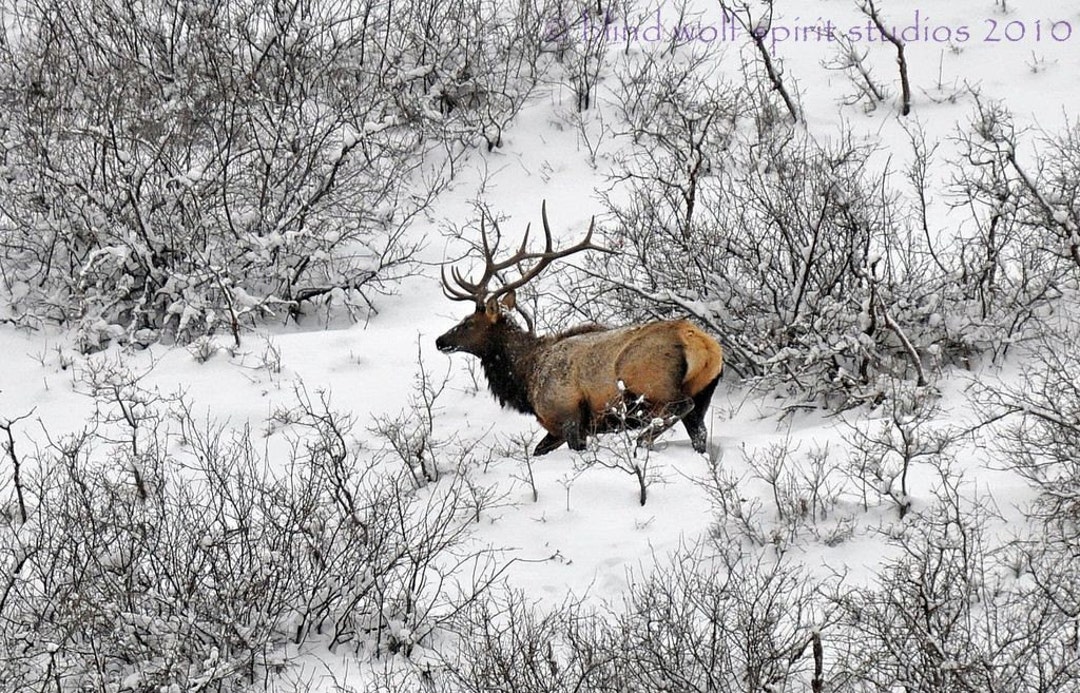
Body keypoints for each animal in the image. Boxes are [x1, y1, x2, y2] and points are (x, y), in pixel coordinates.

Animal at [435, 203, 724, 456]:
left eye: (468, 323)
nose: (440, 340)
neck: (526, 378)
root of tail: (705, 347)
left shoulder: (568, 416)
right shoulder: (558, 428)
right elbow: (538, 450)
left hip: (649, 382)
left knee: (679, 407)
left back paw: (642, 441)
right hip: (704, 393)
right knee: (699, 435)